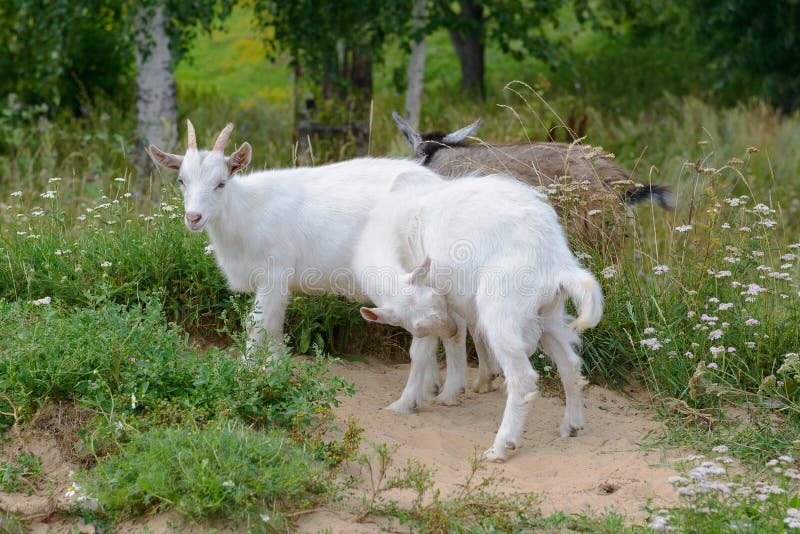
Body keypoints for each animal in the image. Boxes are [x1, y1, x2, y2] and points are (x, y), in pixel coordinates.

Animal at [356, 172, 603, 462]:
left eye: (417, 328)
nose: (449, 327)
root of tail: (556, 263)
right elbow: (453, 341)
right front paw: (447, 392)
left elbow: (420, 353)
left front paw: (404, 403)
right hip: (549, 315)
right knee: (569, 363)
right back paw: (571, 425)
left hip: (501, 313)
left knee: (522, 379)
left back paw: (500, 447)